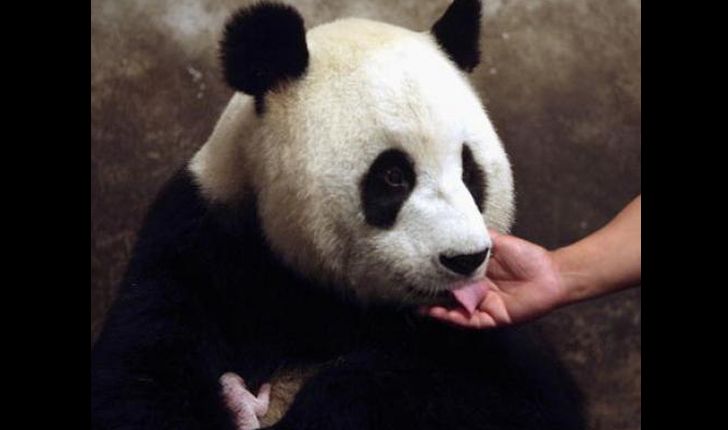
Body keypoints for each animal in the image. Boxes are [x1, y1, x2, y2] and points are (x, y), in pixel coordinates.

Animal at [91, 1, 585, 429]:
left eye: (469, 170)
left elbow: (524, 399)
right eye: (393, 176)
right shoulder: (204, 251)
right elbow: (139, 380)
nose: (465, 259)